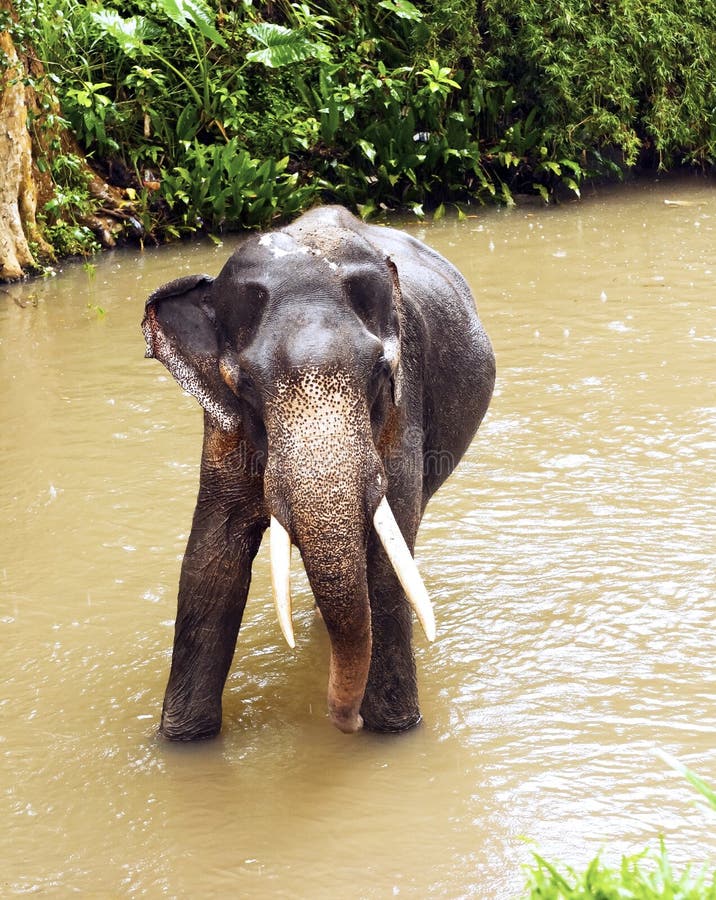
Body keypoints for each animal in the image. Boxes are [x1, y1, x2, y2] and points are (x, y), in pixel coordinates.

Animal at [142, 205, 495, 740]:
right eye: (245, 386)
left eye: (380, 371)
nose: (348, 723)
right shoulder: (222, 426)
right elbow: (211, 561)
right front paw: (181, 742)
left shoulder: (402, 409)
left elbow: (388, 559)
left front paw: (394, 732)